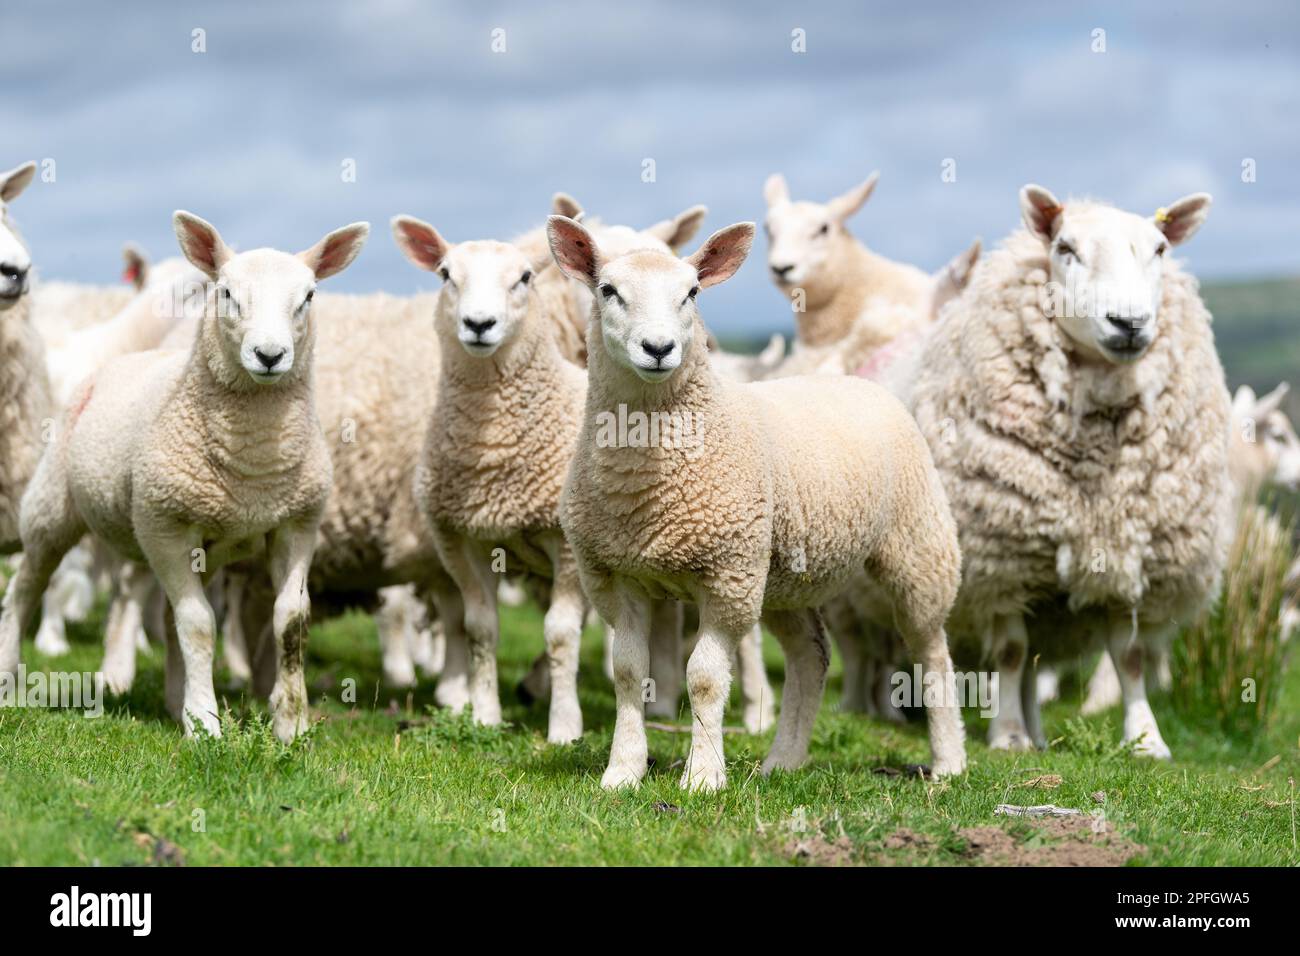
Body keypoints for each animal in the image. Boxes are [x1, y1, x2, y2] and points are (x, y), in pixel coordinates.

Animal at [0, 211, 369, 741]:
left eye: (308, 297)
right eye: (227, 293)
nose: (270, 355)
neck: (253, 466)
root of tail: (135, 356)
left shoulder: (297, 525)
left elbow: (290, 620)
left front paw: (291, 724)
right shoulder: (165, 526)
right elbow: (198, 623)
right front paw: (207, 726)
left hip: (203, 549)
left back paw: (176, 704)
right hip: (52, 509)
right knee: (25, 588)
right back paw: (9, 681)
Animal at [547, 215, 967, 790]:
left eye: (692, 293)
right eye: (608, 290)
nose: (658, 348)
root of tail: (859, 380)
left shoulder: (727, 577)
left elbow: (703, 677)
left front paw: (703, 777)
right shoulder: (614, 576)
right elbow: (629, 672)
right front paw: (623, 772)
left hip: (918, 544)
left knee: (932, 651)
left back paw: (949, 761)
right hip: (784, 576)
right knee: (811, 656)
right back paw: (782, 760)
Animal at [910, 185, 1232, 758]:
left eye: (1161, 250)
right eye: (1065, 248)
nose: (1129, 323)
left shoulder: (1128, 557)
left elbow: (1129, 658)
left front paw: (1146, 739)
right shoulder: (1002, 561)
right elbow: (1010, 653)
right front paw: (1007, 735)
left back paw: (1038, 731)